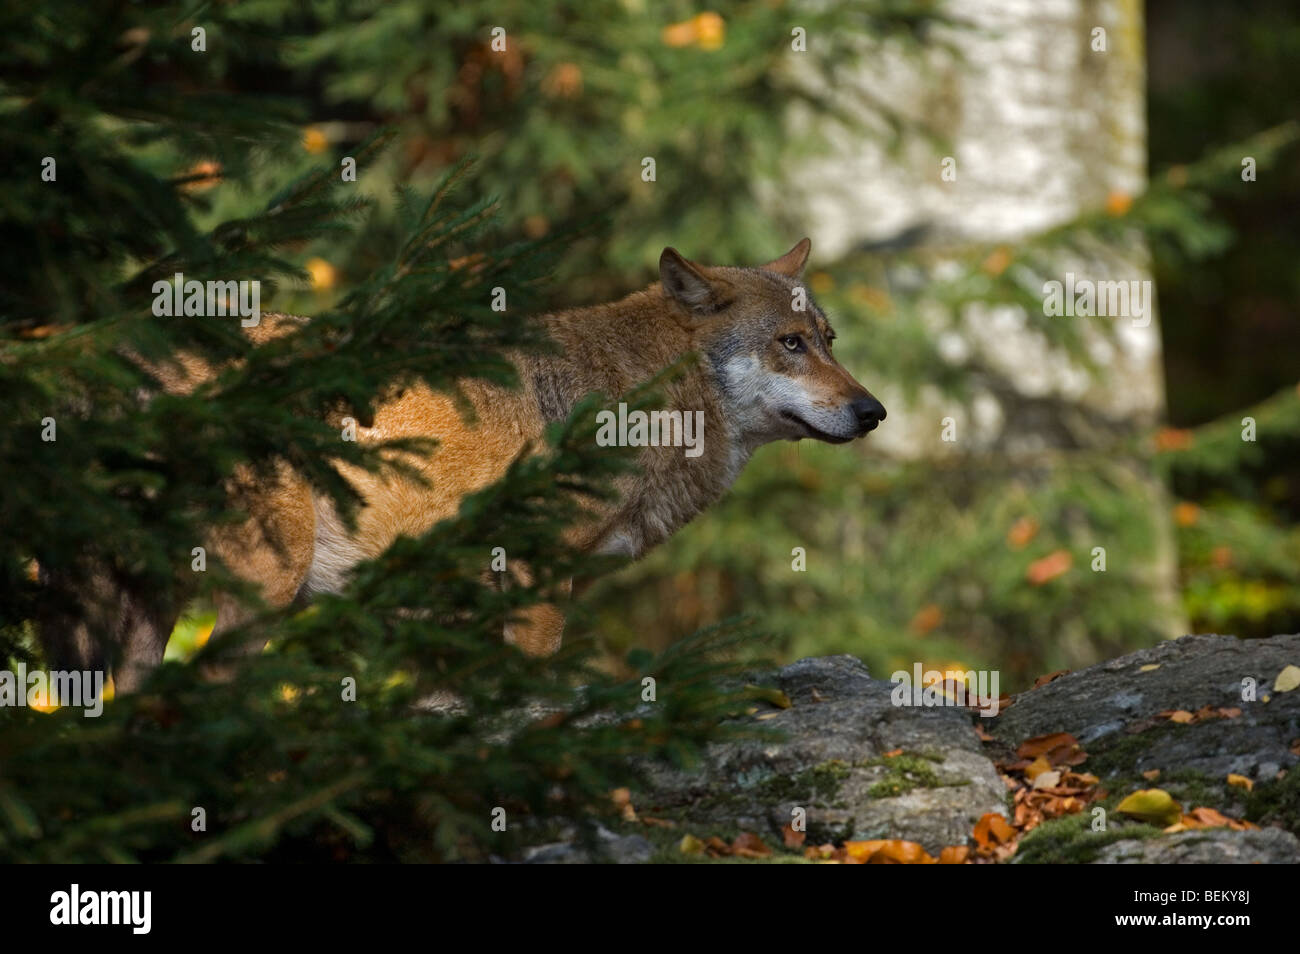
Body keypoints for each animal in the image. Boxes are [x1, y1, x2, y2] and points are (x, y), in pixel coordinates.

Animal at [36, 239, 885, 690]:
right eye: (790, 344)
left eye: (830, 340)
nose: (874, 411)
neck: (639, 395)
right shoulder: (538, 582)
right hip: (266, 584)